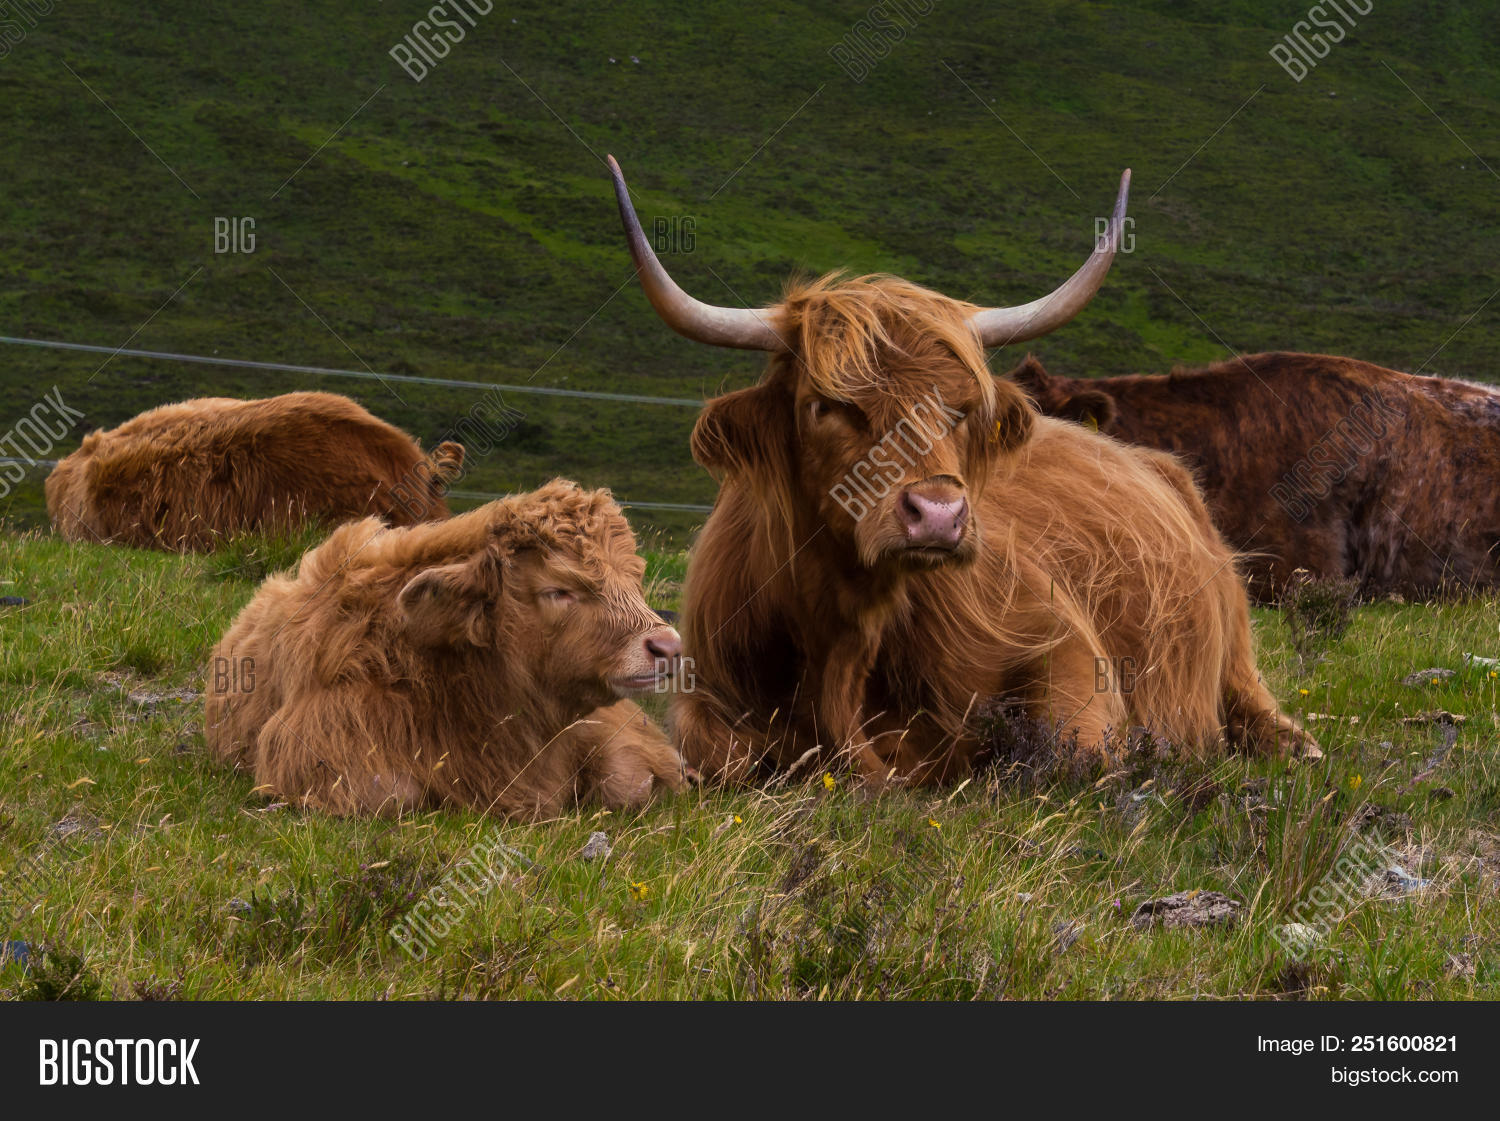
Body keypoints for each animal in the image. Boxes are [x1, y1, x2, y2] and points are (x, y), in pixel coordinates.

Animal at [204, 479, 692, 818]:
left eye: (634, 579)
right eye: (559, 590)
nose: (667, 647)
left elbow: (628, 780)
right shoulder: (308, 742)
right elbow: (389, 793)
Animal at [606, 156, 1314, 784]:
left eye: (964, 409)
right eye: (827, 405)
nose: (937, 516)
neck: (849, 641)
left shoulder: (1062, 642)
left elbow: (1081, 756)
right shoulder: (706, 692)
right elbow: (716, 756)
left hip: (1236, 646)